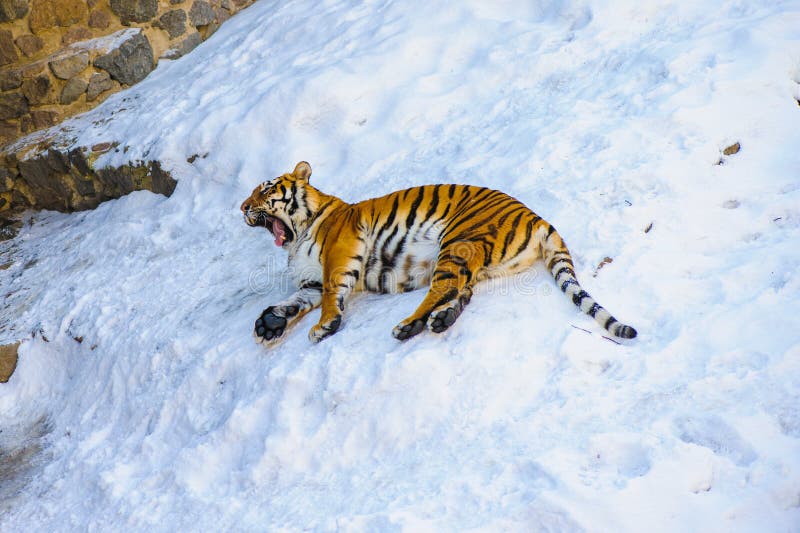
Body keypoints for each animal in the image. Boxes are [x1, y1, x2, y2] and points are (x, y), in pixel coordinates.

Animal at [240, 161, 637, 345]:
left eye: (266, 189)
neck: (297, 235)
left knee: (445, 288)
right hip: (475, 261)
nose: (242, 207)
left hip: (458, 241)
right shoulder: (308, 281)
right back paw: (438, 321)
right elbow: (294, 300)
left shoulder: (340, 252)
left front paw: (324, 325)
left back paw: (408, 325)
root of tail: (536, 216)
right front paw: (269, 322)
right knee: (462, 291)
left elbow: (329, 294)